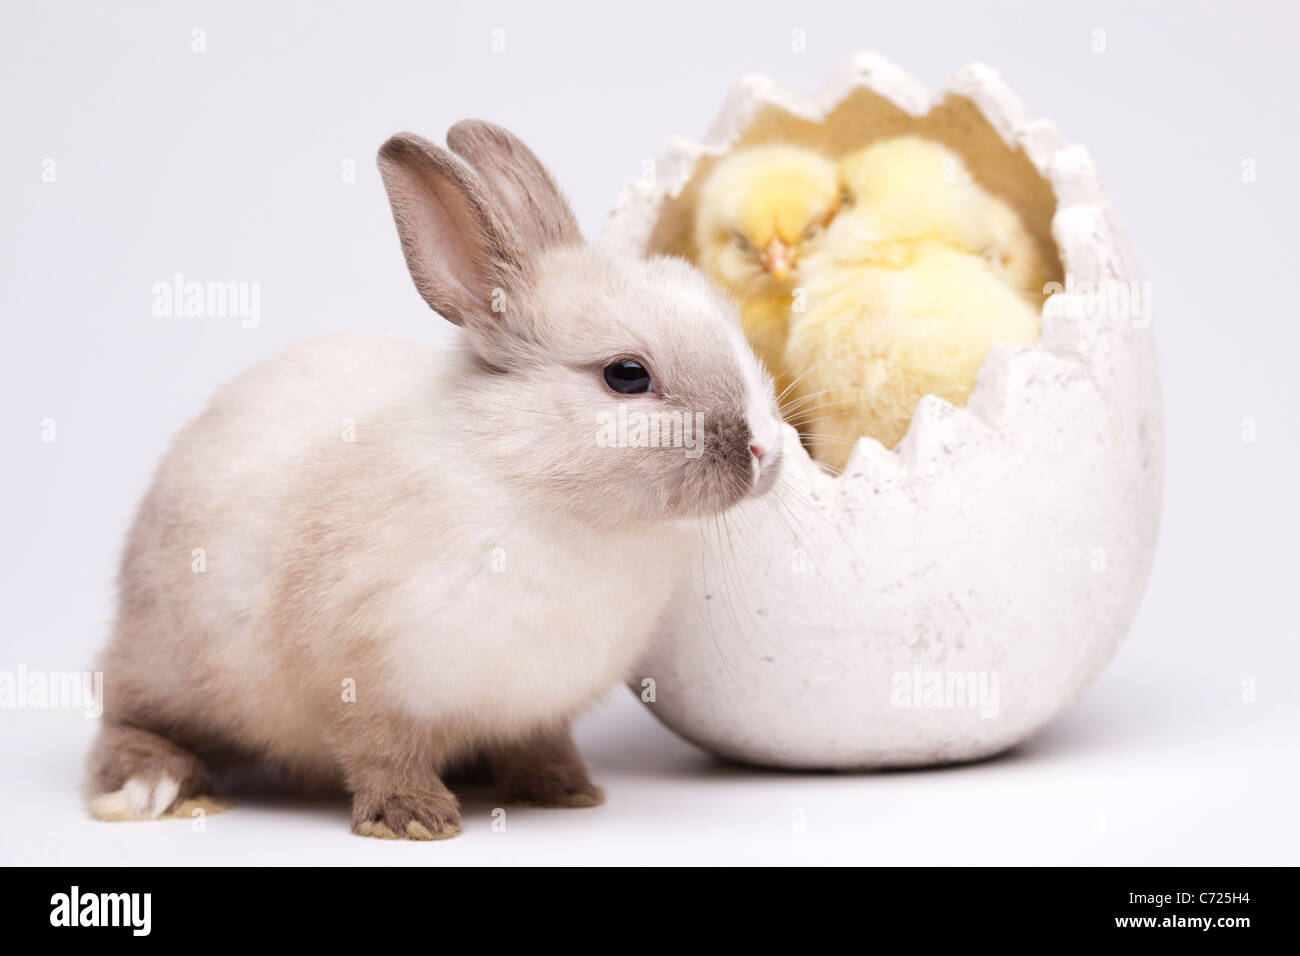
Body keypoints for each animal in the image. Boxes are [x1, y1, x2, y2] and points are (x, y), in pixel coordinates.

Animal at [85, 121, 784, 840]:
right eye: (626, 375)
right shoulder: (362, 675)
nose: (766, 447)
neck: (530, 482)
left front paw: (565, 790)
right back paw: (156, 786)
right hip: (174, 668)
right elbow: (382, 752)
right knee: (122, 720)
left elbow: (540, 744)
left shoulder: (539, 704)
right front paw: (413, 819)